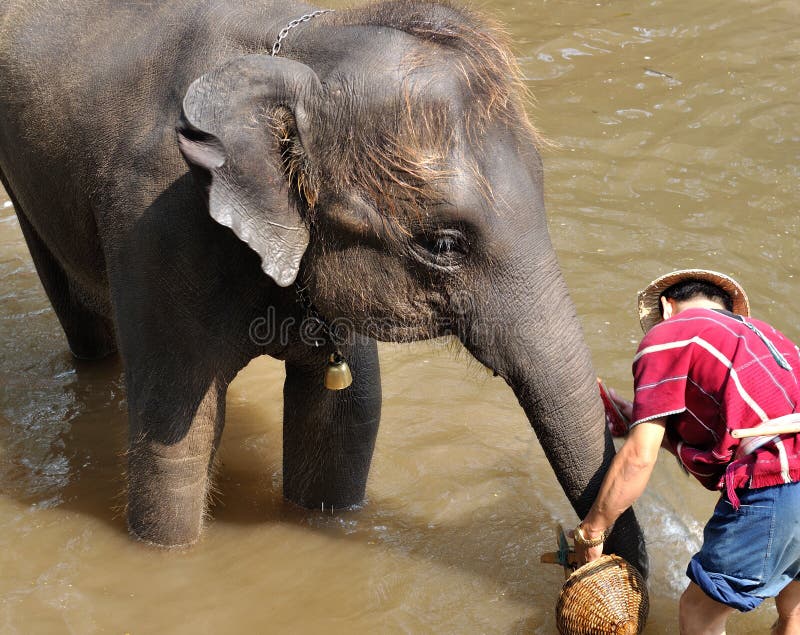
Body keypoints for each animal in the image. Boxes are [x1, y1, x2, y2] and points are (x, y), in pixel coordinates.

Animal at [0, 0, 647, 573]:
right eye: (444, 244)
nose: (591, 551)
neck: (298, 56)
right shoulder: (156, 228)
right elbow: (174, 443)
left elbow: (347, 415)